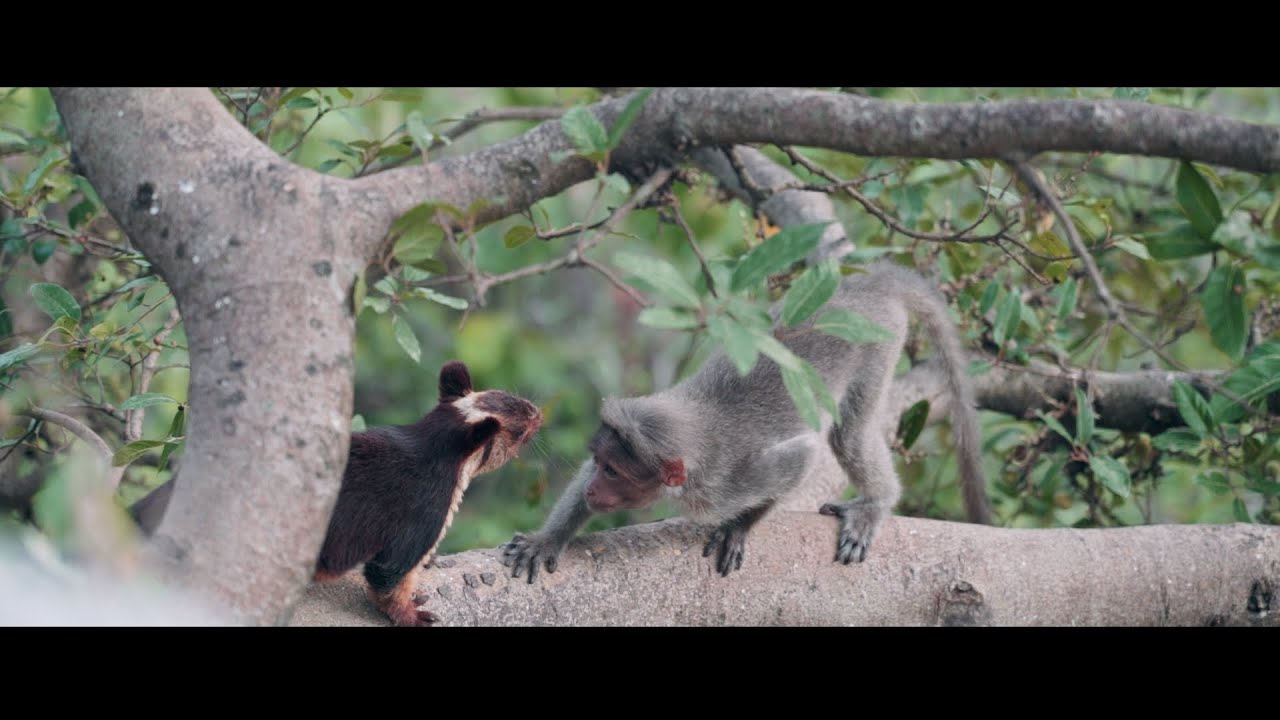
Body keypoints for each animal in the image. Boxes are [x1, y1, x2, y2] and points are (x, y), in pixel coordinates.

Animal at [312, 360, 542, 626]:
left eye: (504, 394)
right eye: (519, 432)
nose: (539, 414)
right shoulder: (423, 519)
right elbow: (388, 577)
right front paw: (411, 615)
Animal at [502, 260, 988, 582]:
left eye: (614, 472)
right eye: (600, 464)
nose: (592, 489)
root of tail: (863, 284)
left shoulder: (723, 483)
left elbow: (801, 457)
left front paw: (740, 526)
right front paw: (549, 538)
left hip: (879, 340)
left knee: (849, 435)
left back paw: (876, 503)